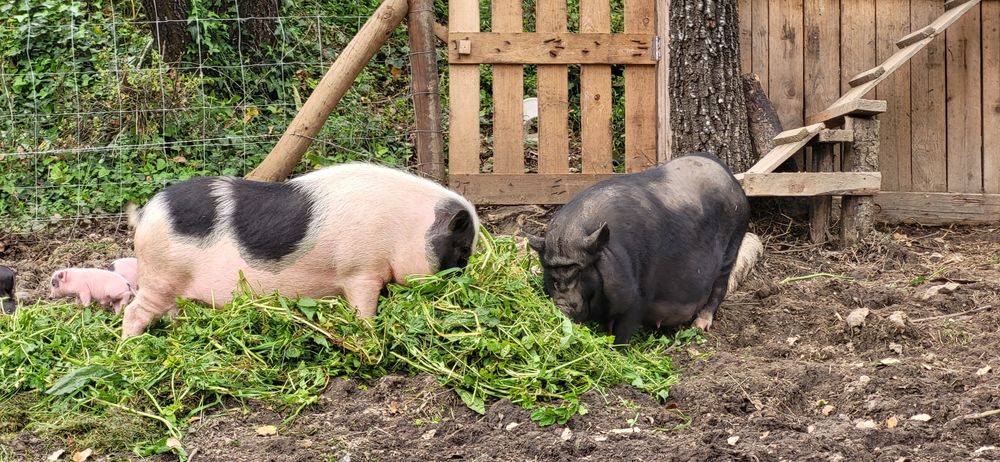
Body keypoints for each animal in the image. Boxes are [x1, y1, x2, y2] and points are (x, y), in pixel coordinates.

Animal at [121, 162, 481, 338]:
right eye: (462, 250)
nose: (462, 280)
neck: (403, 227)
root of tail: (147, 213)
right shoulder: (360, 270)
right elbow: (364, 308)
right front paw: (369, 331)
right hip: (161, 275)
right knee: (134, 312)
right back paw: (131, 347)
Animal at [525, 152, 763, 344]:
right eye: (552, 275)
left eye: (580, 271)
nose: (562, 306)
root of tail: (731, 178)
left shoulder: (637, 297)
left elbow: (622, 332)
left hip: (733, 243)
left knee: (719, 288)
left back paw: (699, 326)